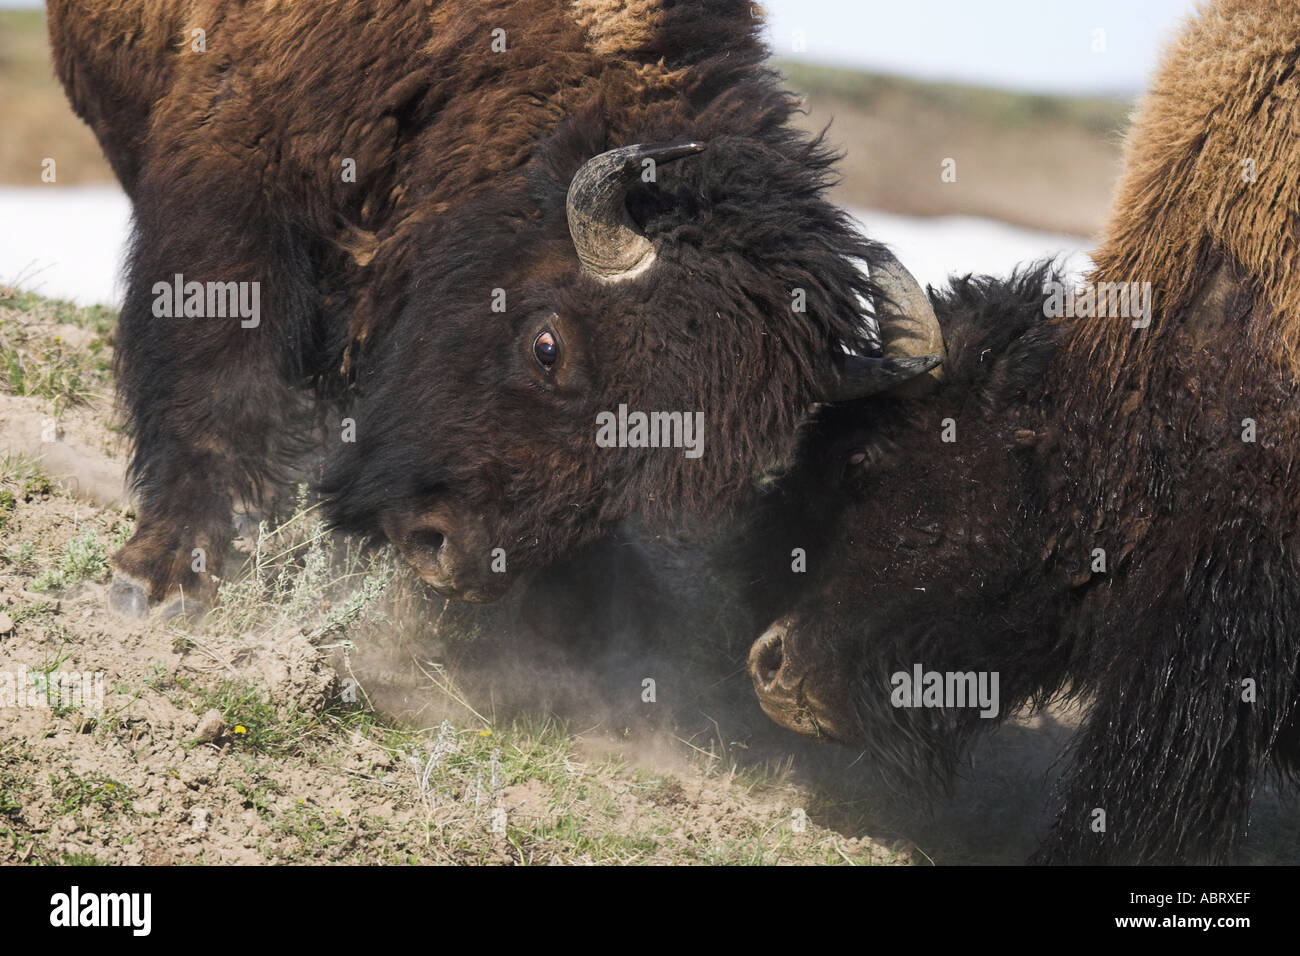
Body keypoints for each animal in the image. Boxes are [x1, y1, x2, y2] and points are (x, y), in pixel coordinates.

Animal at [48, 0, 939, 613]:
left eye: (676, 462)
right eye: (548, 347)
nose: (457, 559)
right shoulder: (234, 183)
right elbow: (221, 384)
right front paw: (160, 578)